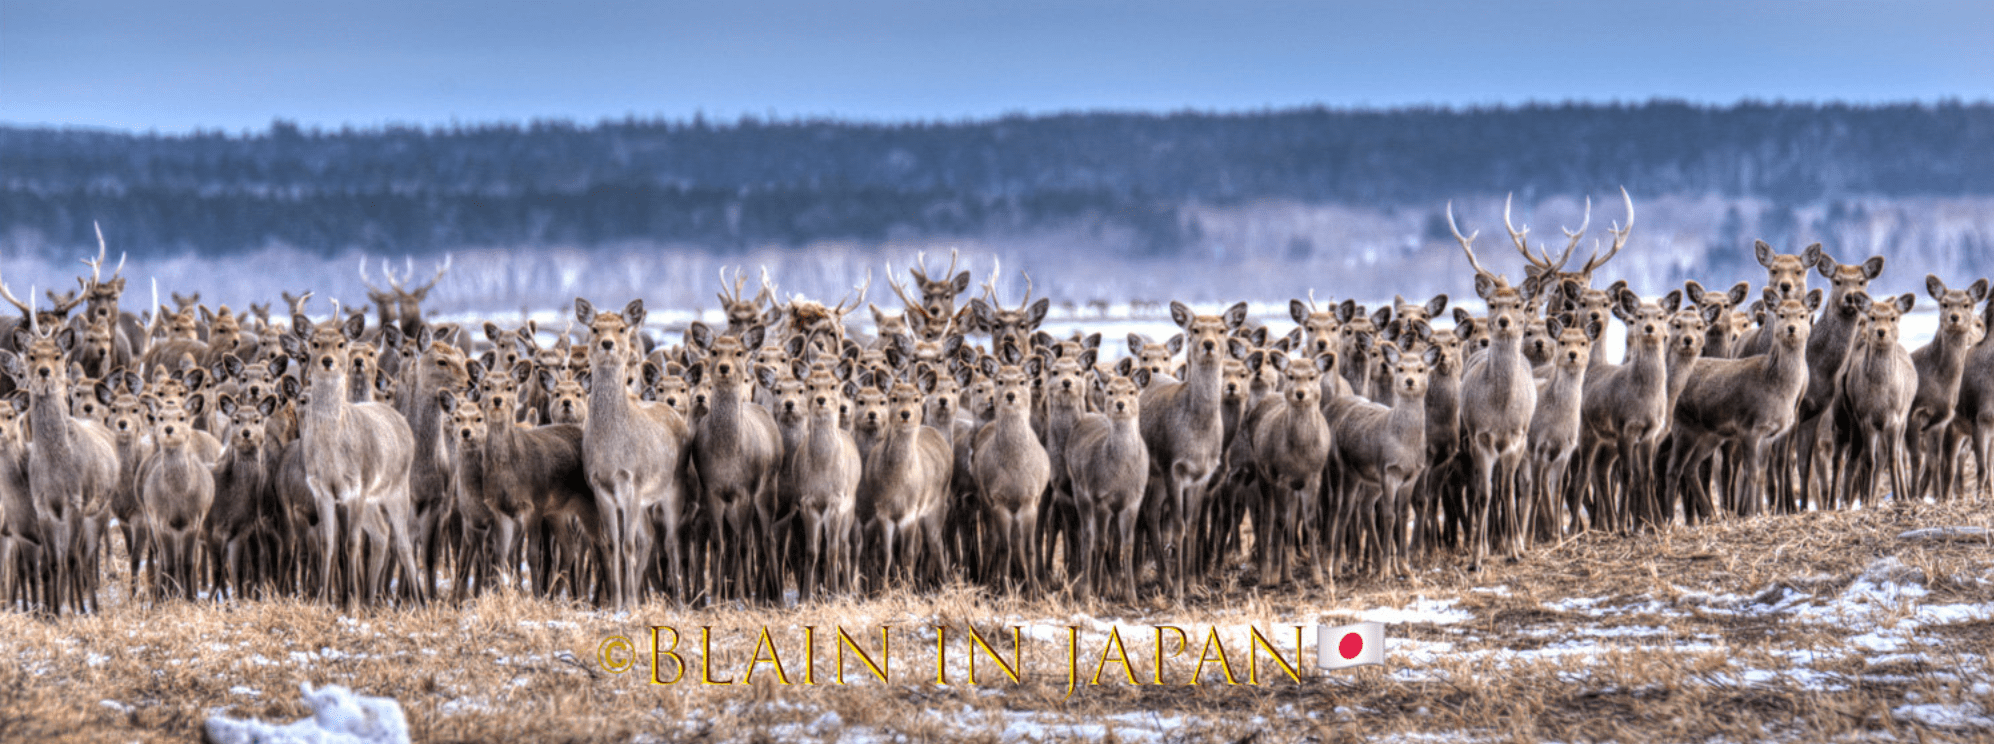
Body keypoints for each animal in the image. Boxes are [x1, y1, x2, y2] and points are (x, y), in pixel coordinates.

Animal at [279, 311, 425, 607]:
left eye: (341, 343)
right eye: (314, 343)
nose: (327, 361)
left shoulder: (357, 487)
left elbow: (352, 543)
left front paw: (349, 603)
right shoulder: (322, 490)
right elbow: (328, 544)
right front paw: (323, 600)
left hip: (397, 488)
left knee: (403, 543)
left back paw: (415, 603)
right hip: (372, 500)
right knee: (382, 533)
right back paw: (371, 601)